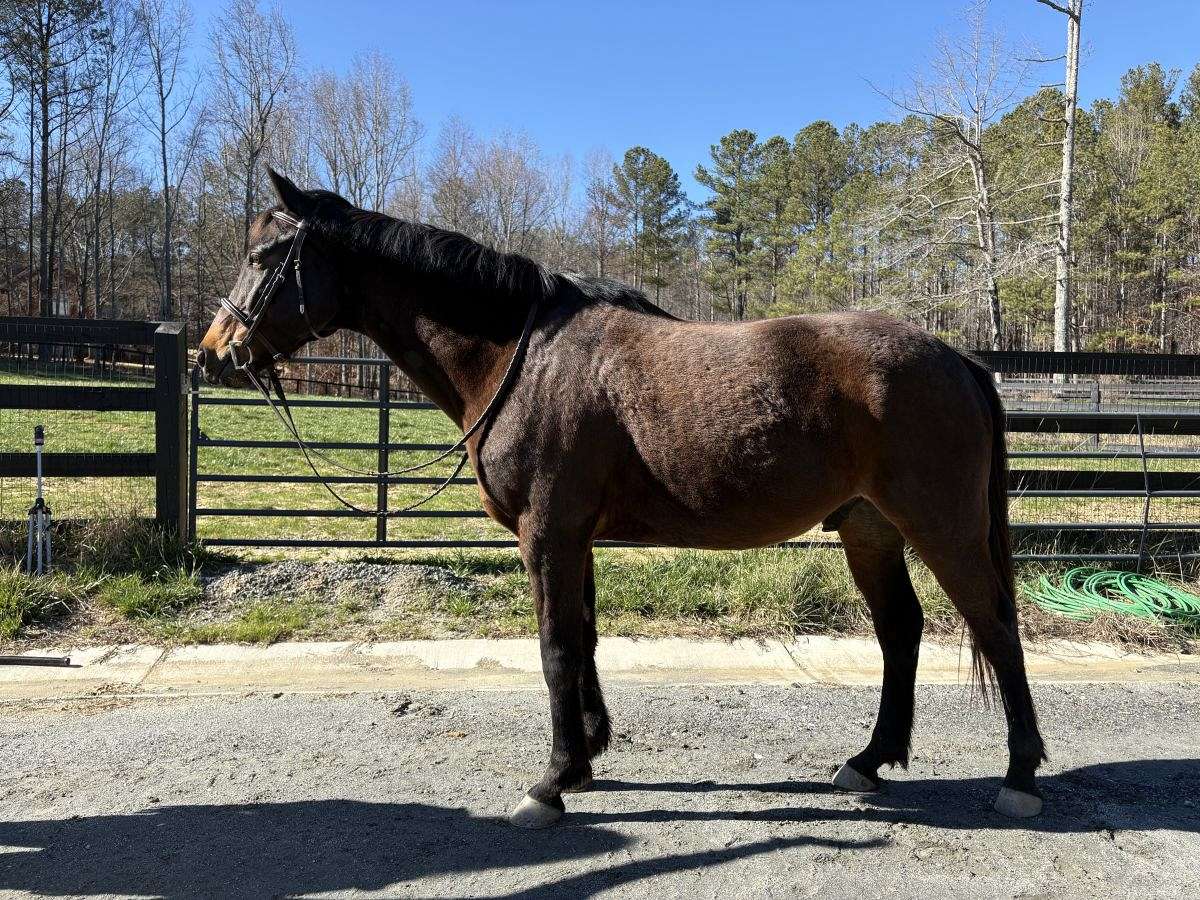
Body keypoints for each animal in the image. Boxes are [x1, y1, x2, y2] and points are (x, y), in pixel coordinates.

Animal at [198, 169, 1046, 829]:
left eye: (264, 255)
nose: (216, 353)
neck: (523, 357)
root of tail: (961, 360)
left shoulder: (547, 532)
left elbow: (555, 647)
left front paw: (550, 782)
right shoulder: (574, 535)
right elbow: (586, 638)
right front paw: (584, 758)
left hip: (942, 527)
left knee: (996, 630)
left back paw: (1019, 776)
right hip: (868, 529)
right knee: (900, 631)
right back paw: (869, 761)